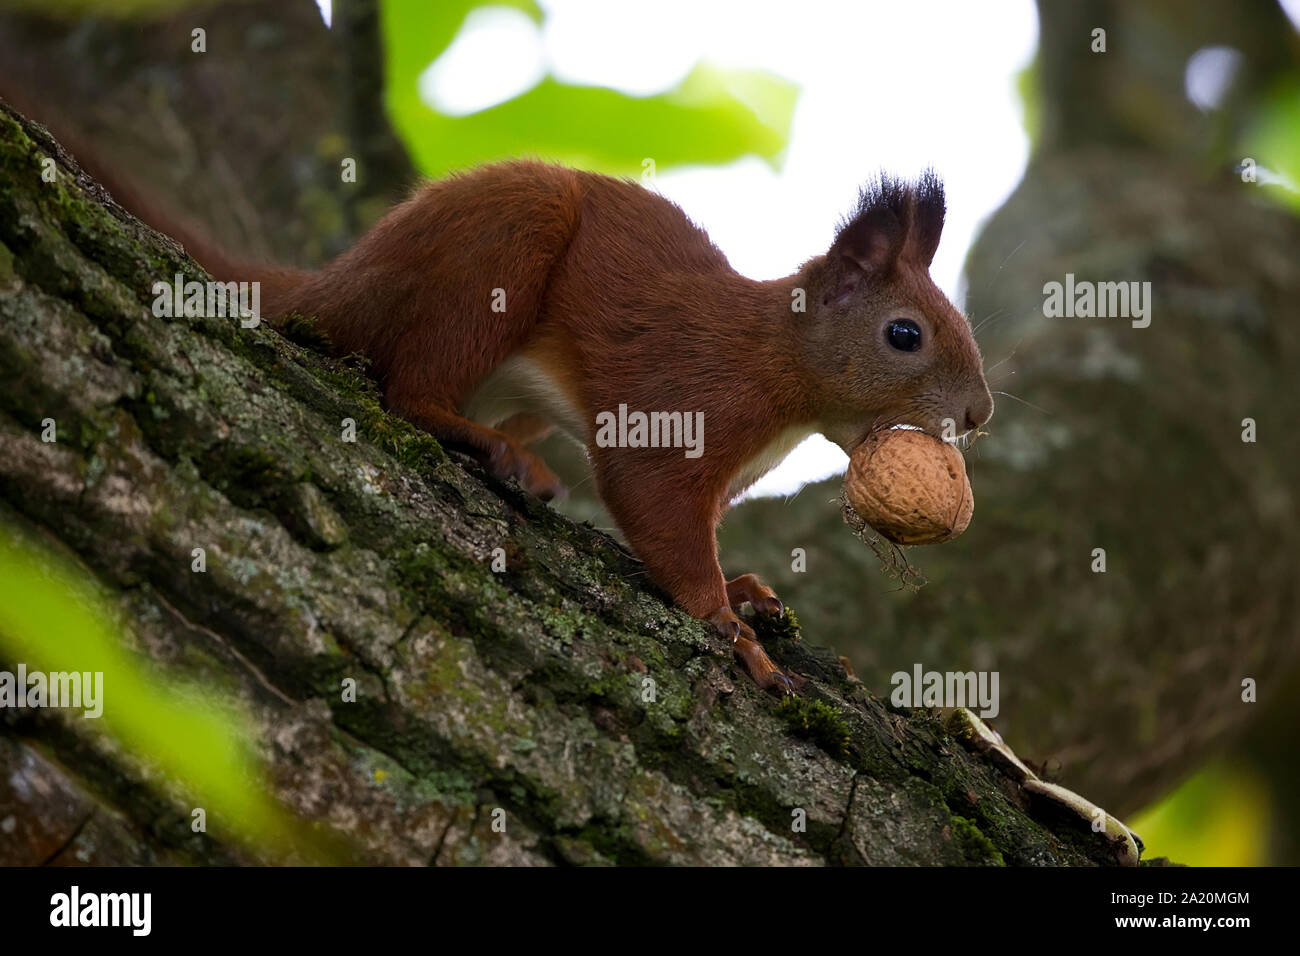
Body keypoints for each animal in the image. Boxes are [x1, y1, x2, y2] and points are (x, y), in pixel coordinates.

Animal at [99, 157, 995, 696]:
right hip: (497, 254)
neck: (779, 363)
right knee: (407, 389)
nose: (979, 414)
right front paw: (730, 628)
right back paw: (495, 452)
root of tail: (339, 280)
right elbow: (654, 508)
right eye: (906, 334)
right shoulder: (681, 403)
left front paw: (745, 590)